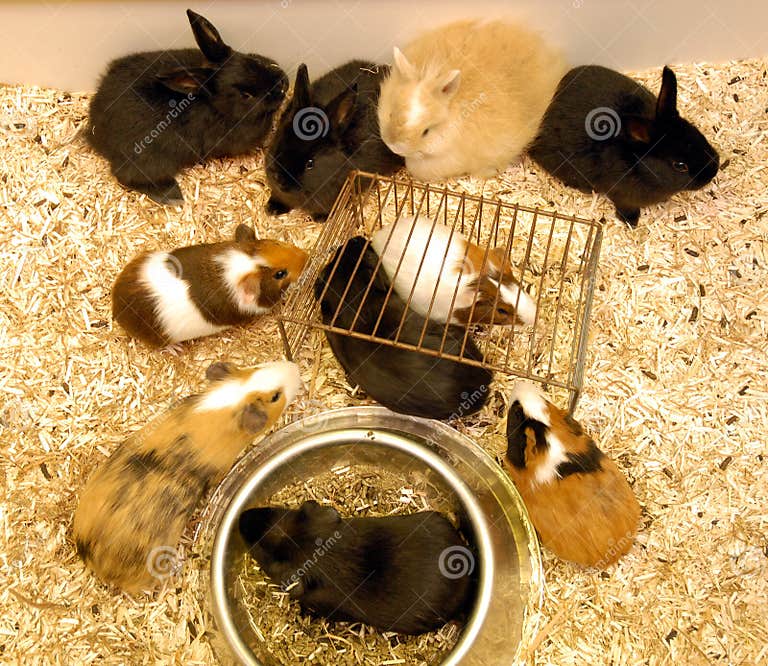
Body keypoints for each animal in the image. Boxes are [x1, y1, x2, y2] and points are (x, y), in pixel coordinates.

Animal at [86, 9, 288, 205]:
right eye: (246, 95)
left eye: (253, 61)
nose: (283, 85)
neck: (219, 107)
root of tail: (95, 132)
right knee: (126, 177)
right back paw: (172, 196)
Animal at [528, 65, 720, 227]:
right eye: (679, 166)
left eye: (696, 133)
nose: (713, 171)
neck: (640, 166)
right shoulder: (621, 195)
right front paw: (631, 222)